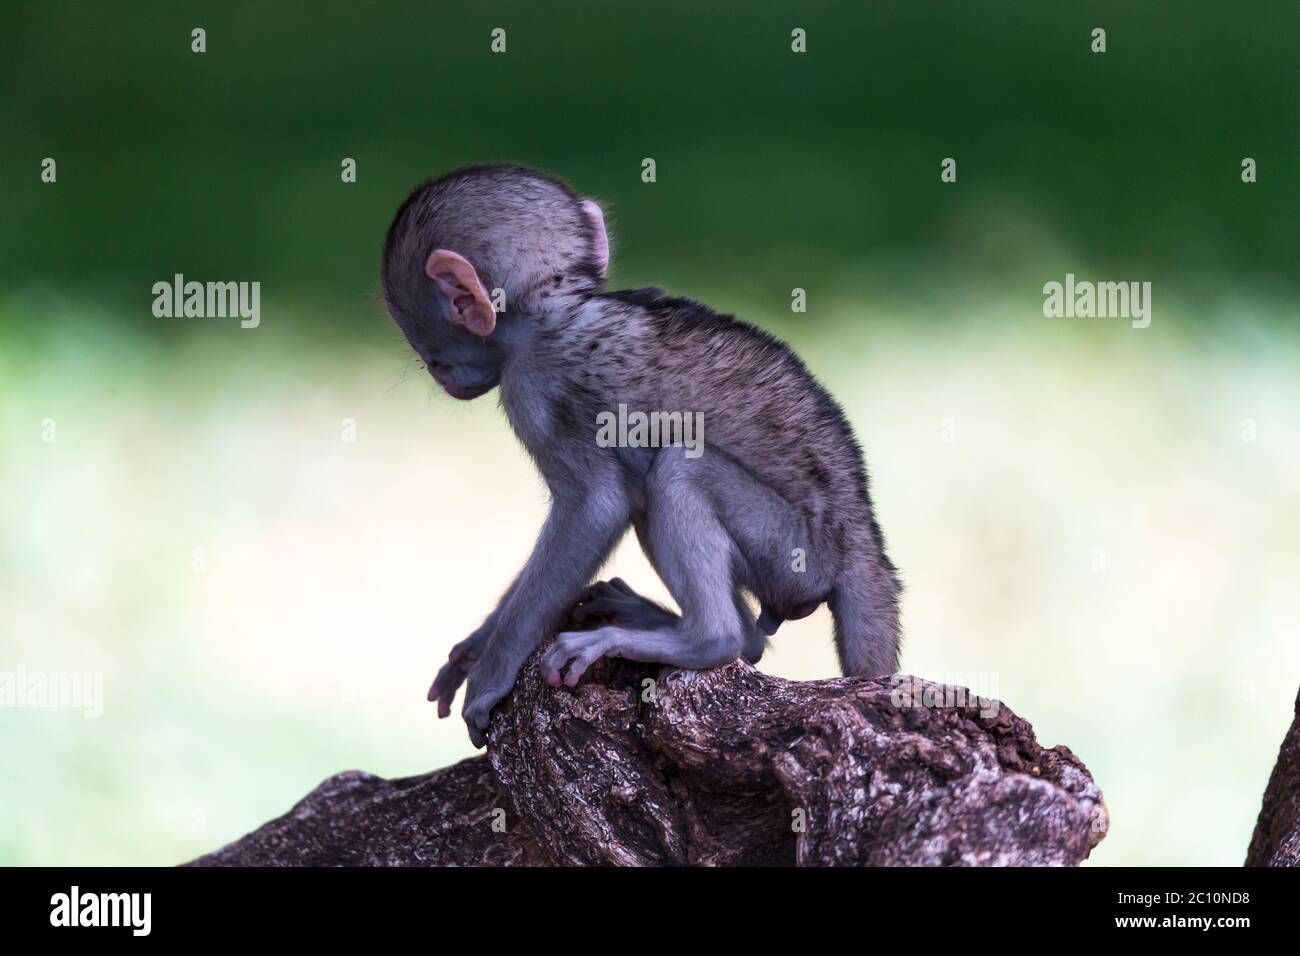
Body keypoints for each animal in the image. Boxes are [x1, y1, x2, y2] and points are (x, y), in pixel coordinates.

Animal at [380, 164, 901, 747]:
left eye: (428, 352)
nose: (439, 376)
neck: (557, 307)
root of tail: (862, 537)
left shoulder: (532, 384)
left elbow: (595, 507)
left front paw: (493, 671)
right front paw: (478, 645)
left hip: (796, 558)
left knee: (676, 469)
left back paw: (710, 639)